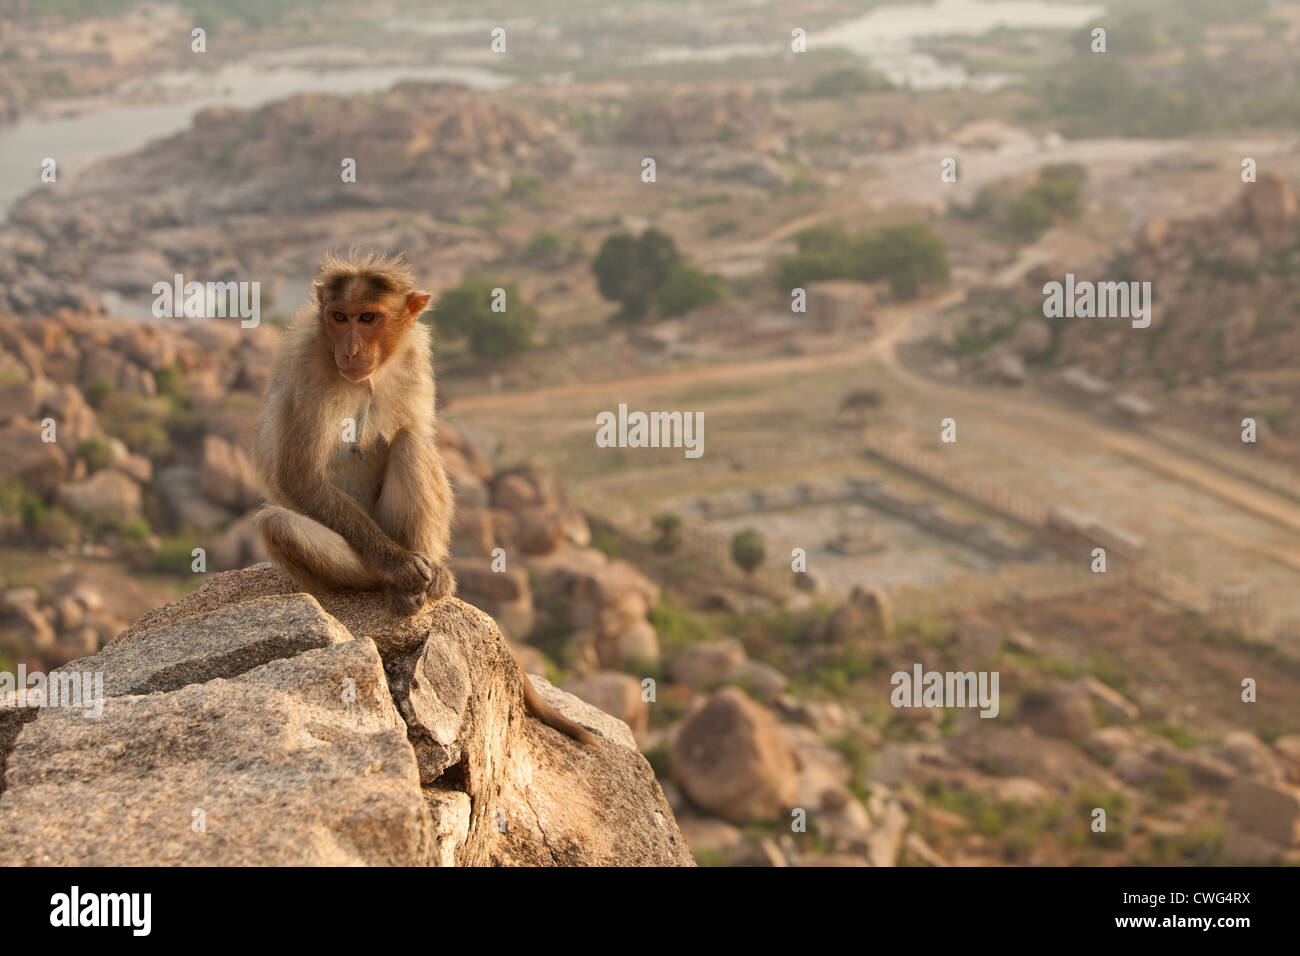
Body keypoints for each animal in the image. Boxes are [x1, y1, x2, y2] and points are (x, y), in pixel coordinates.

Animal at [253, 249, 596, 747]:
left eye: (367, 317)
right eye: (339, 317)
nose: (350, 349)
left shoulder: (416, 357)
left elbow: (420, 434)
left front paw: (435, 572)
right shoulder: (309, 366)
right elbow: (299, 476)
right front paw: (399, 566)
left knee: (411, 441)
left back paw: (432, 580)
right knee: (280, 525)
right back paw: (394, 583)